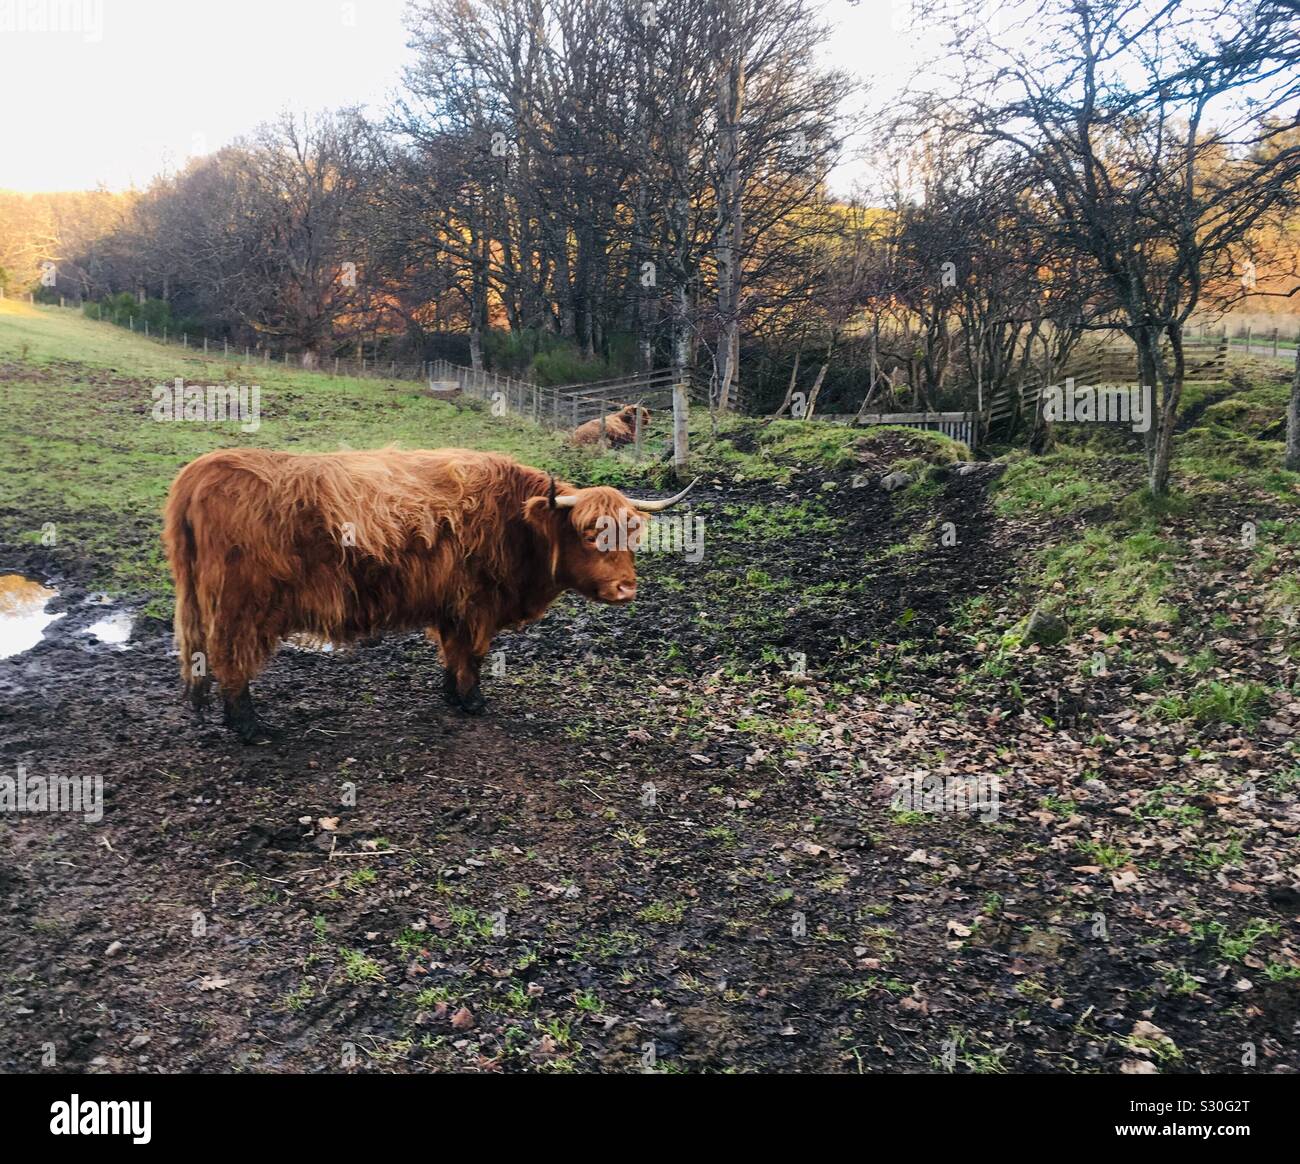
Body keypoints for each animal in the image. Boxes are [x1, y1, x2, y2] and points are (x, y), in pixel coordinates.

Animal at [162, 447, 694, 742]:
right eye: (588, 533)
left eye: (633, 533)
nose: (626, 588)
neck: (518, 523)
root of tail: (203, 469)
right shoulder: (479, 602)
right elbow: (473, 654)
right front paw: (473, 702)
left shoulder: (451, 603)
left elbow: (453, 653)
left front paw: (452, 696)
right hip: (239, 608)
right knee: (231, 661)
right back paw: (250, 729)